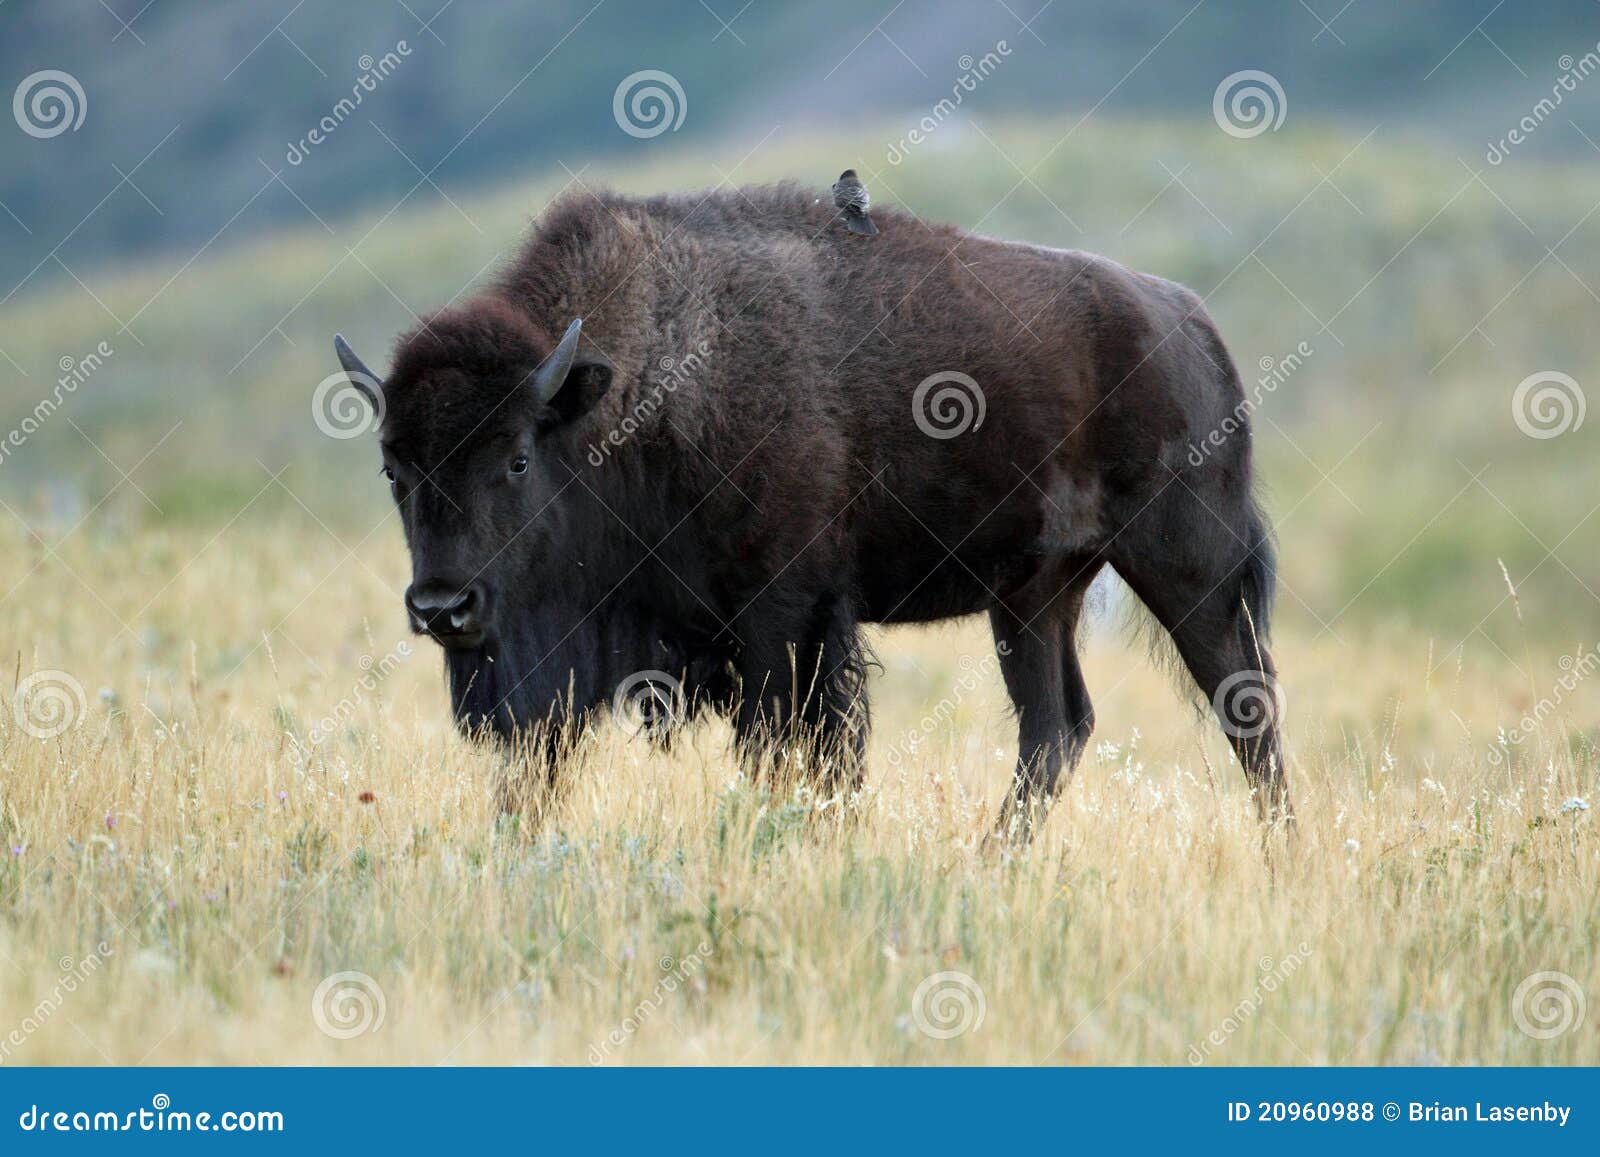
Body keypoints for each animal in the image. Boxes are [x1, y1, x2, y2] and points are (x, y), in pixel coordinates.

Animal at [332, 181, 1291, 833]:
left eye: (518, 458)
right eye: (391, 468)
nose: (442, 607)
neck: (630, 396)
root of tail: (1191, 324)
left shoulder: (783, 618)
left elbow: (795, 753)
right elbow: (537, 770)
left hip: (1187, 569)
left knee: (1246, 707)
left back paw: (1281, 859)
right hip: (1034, 595)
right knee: (1056, 728)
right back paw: (991, 863)